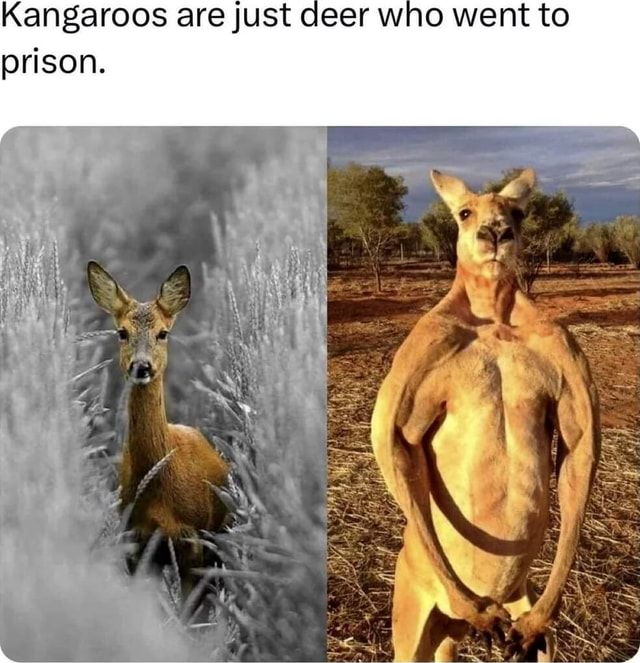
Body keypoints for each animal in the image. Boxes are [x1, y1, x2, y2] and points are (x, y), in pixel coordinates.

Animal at [371, 169, 600, 661]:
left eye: (518, 212)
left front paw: (539, 617)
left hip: (516, 613)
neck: (494, 316)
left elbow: (579, 447)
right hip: (412, 614)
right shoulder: (423, 347)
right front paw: (475, 607)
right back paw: (476, 610)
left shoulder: (564, 348)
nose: (495, 233)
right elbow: (394, 440)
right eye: (464, 212)